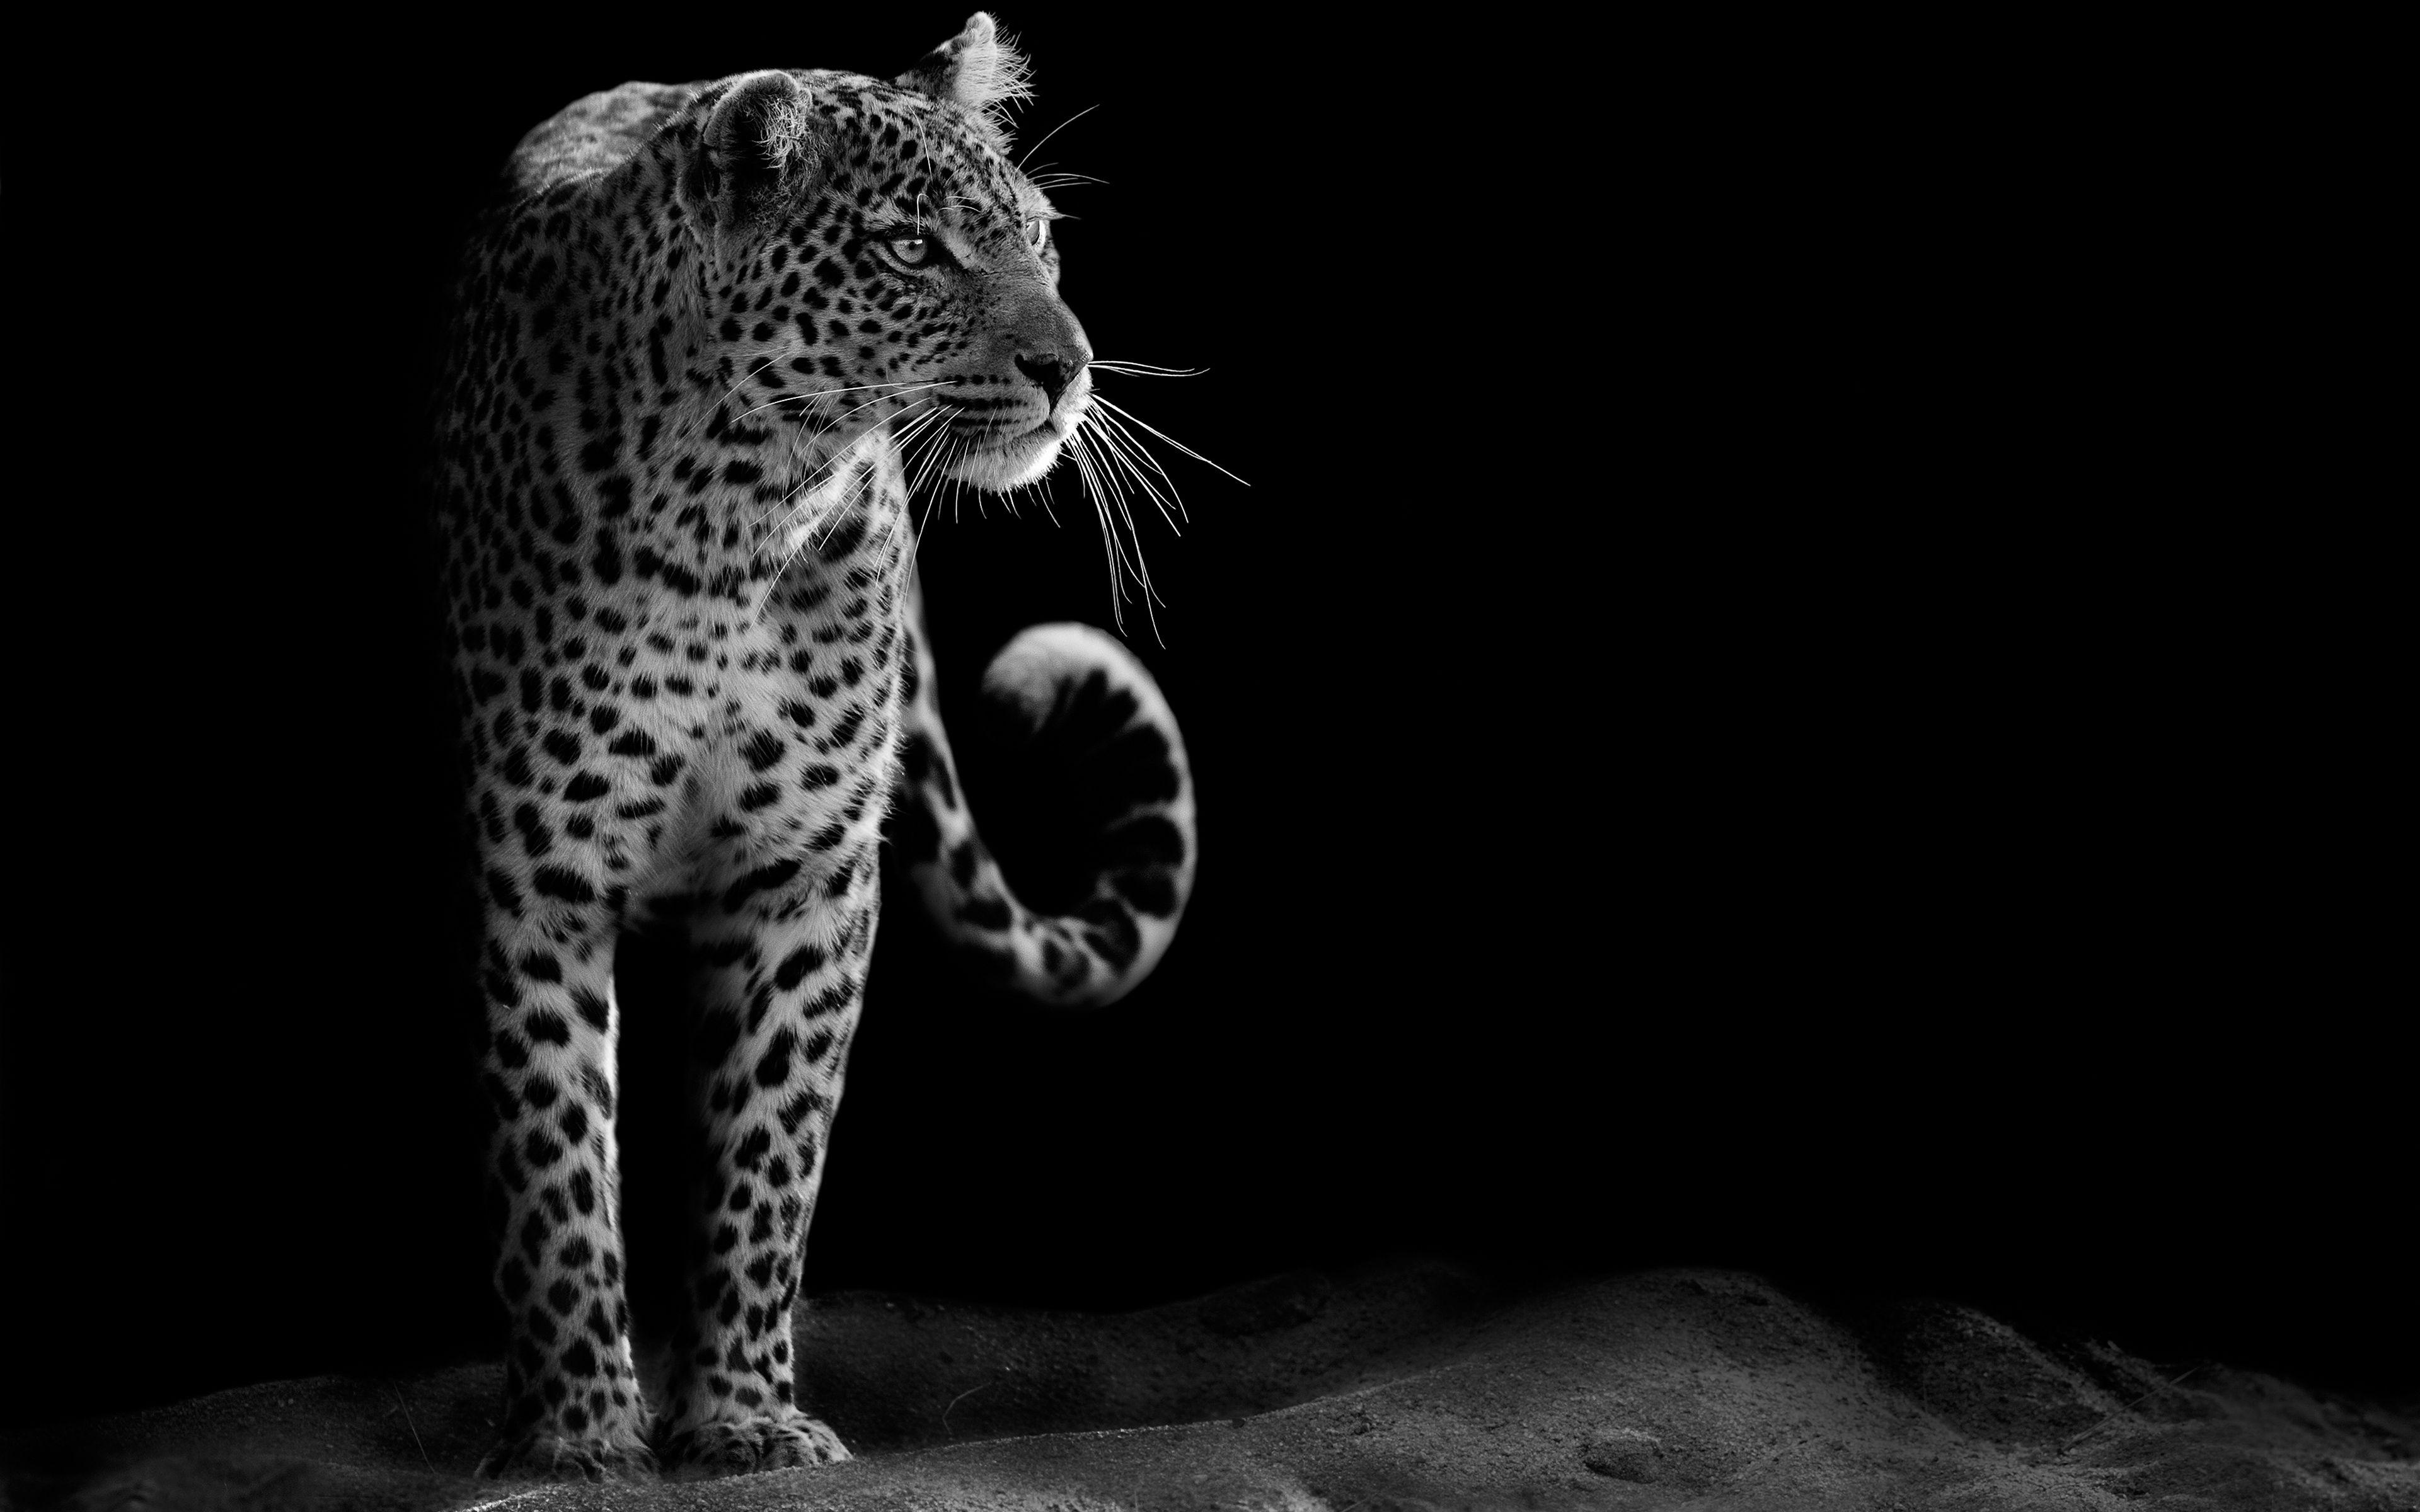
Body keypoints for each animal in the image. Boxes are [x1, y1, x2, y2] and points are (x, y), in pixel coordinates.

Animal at [432, 13, 1197, 1479]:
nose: (1068, 368)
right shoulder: (538, 867)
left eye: (1038, 236)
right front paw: (576, 1431)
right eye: (911, 248)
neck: (738, 503)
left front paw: (740, 1414)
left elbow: (767, 1152)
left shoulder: (806, 872)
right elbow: (554, 1153)